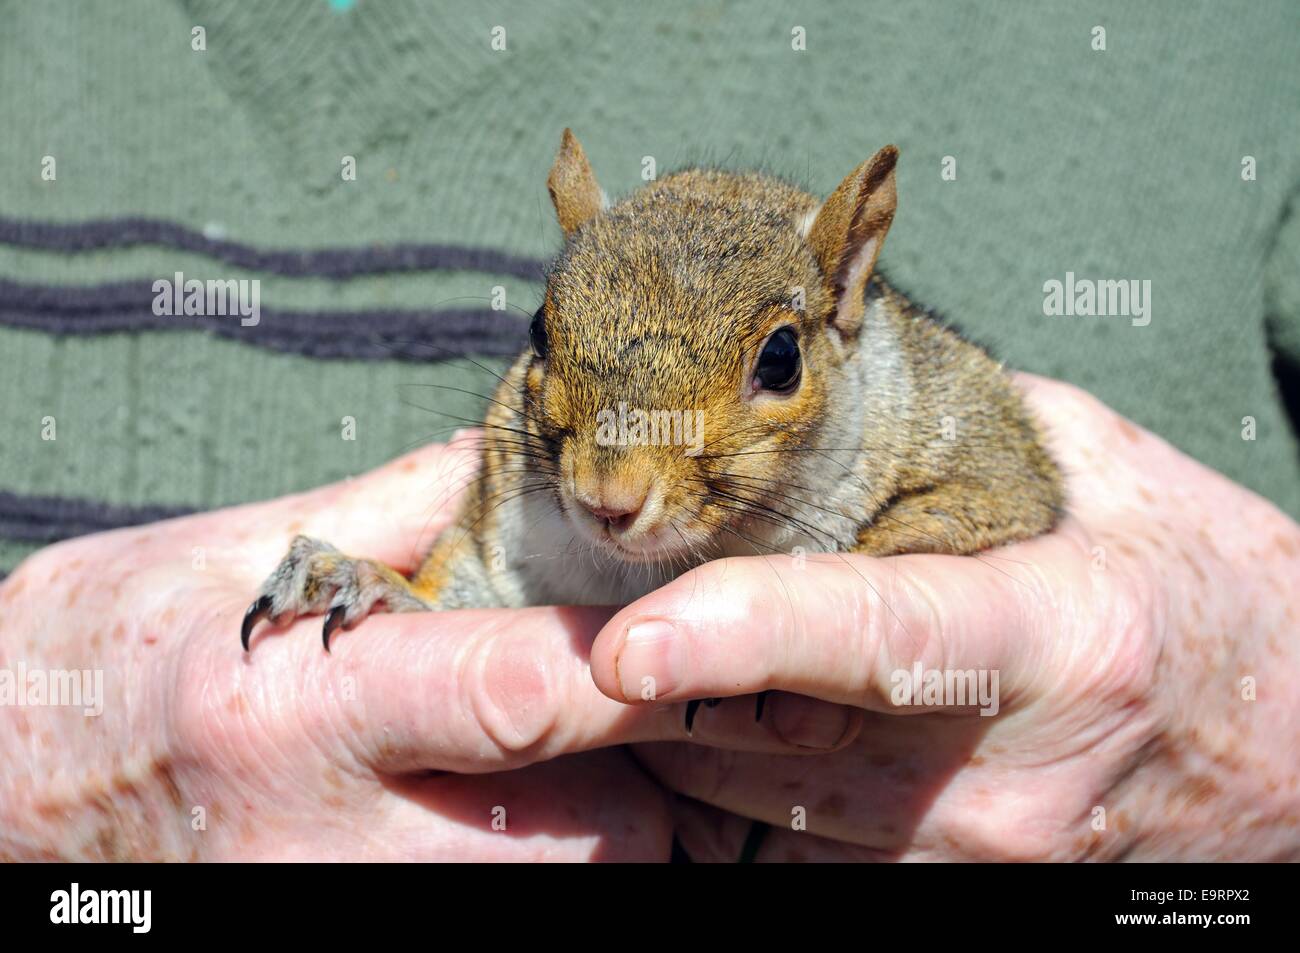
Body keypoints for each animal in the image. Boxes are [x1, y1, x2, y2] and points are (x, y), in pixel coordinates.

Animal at [241, 129, 1063, 726]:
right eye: (537, 330)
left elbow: (988, 503)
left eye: (782, 359)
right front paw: (356, 575)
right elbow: (453, 594)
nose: (608, 500)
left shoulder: (981, 438)